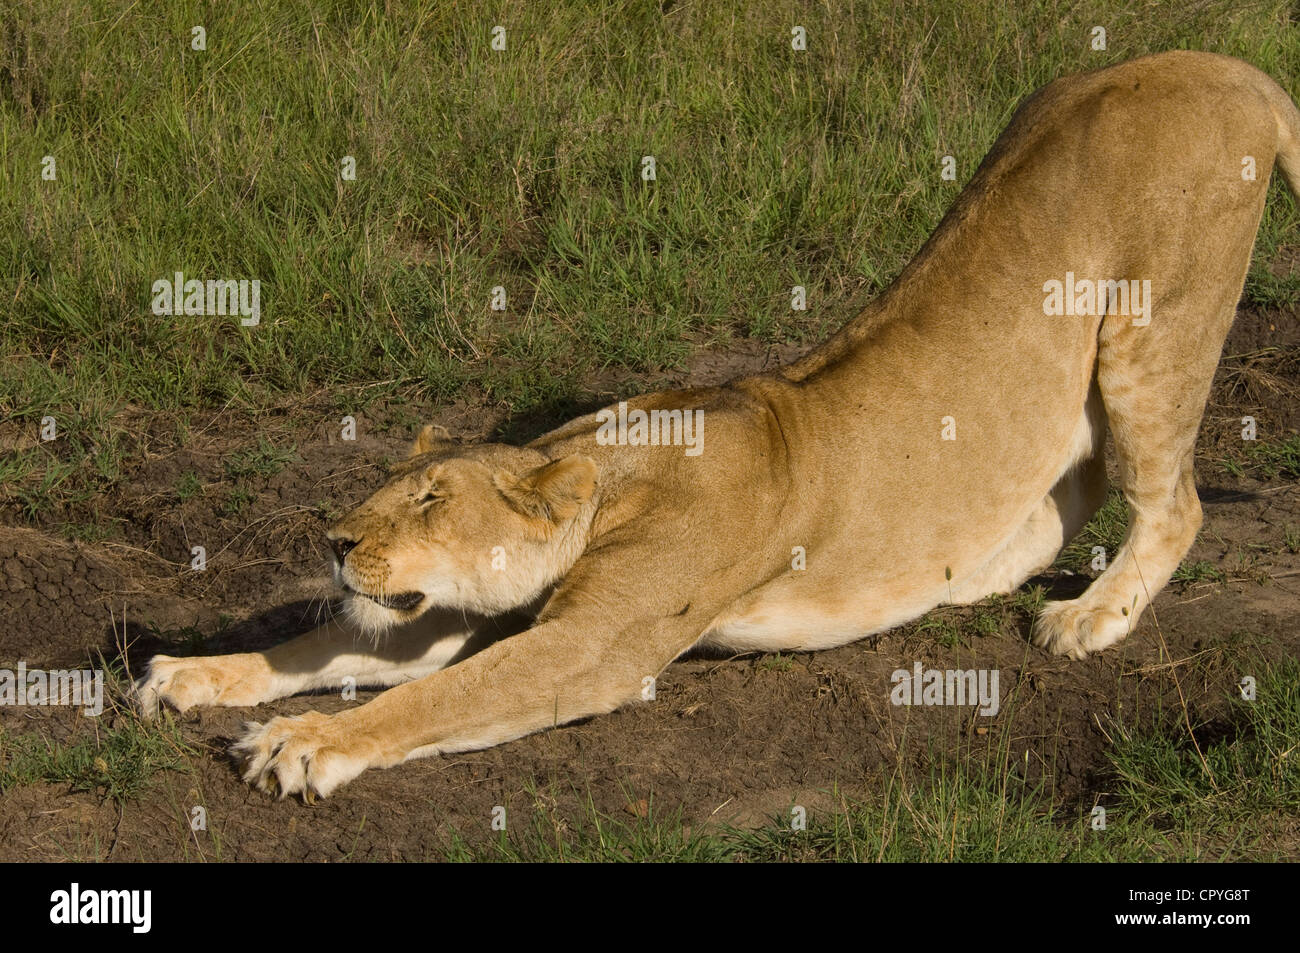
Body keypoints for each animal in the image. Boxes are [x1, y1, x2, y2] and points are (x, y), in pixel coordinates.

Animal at [136, 51, 1300, 800]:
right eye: (378, 490)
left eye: (427, 497)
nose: (334, 542)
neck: (606, 469)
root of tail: (1229, 63)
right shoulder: (451, 612)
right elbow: (317, 642)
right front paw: (190, 673)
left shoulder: (593, 647)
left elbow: (429, 703)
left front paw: (303, 743)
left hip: (1151, 334)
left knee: (1176, 500)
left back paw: (1089, 617)